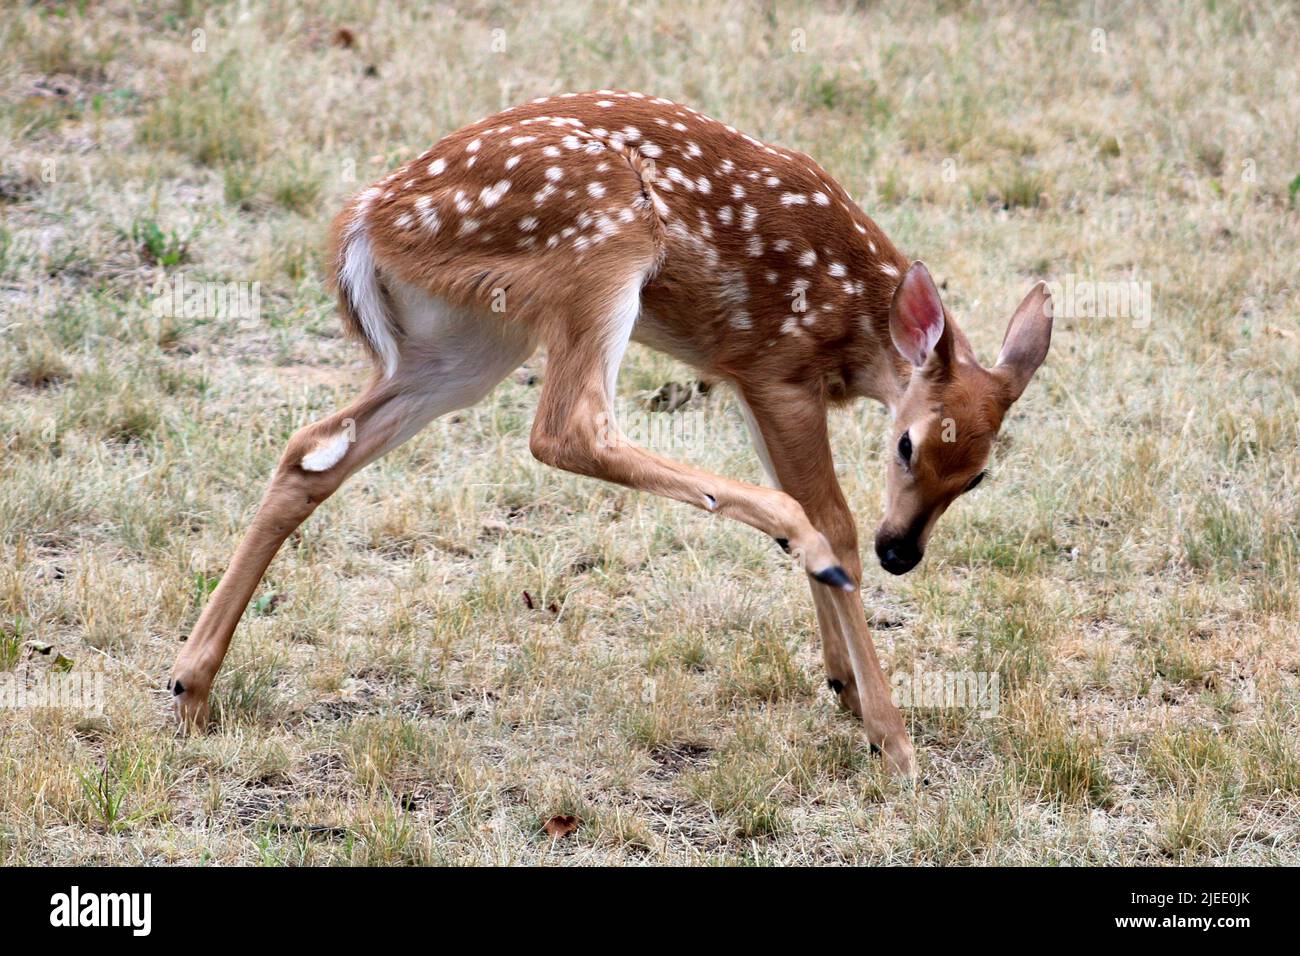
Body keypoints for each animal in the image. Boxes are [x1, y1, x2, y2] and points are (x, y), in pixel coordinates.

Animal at [169, 90, 1052, 778]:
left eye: (977, 476)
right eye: (905, 445)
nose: (902, 551)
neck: (858, 322)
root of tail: (362, 221)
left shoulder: (748, 382)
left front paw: (842, 685)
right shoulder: (776, 370)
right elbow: (833, 518)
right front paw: (889, 736)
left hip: (465, 344)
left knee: (313, 450)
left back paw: (190, 689)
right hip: (600, 242)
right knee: (569, 429)